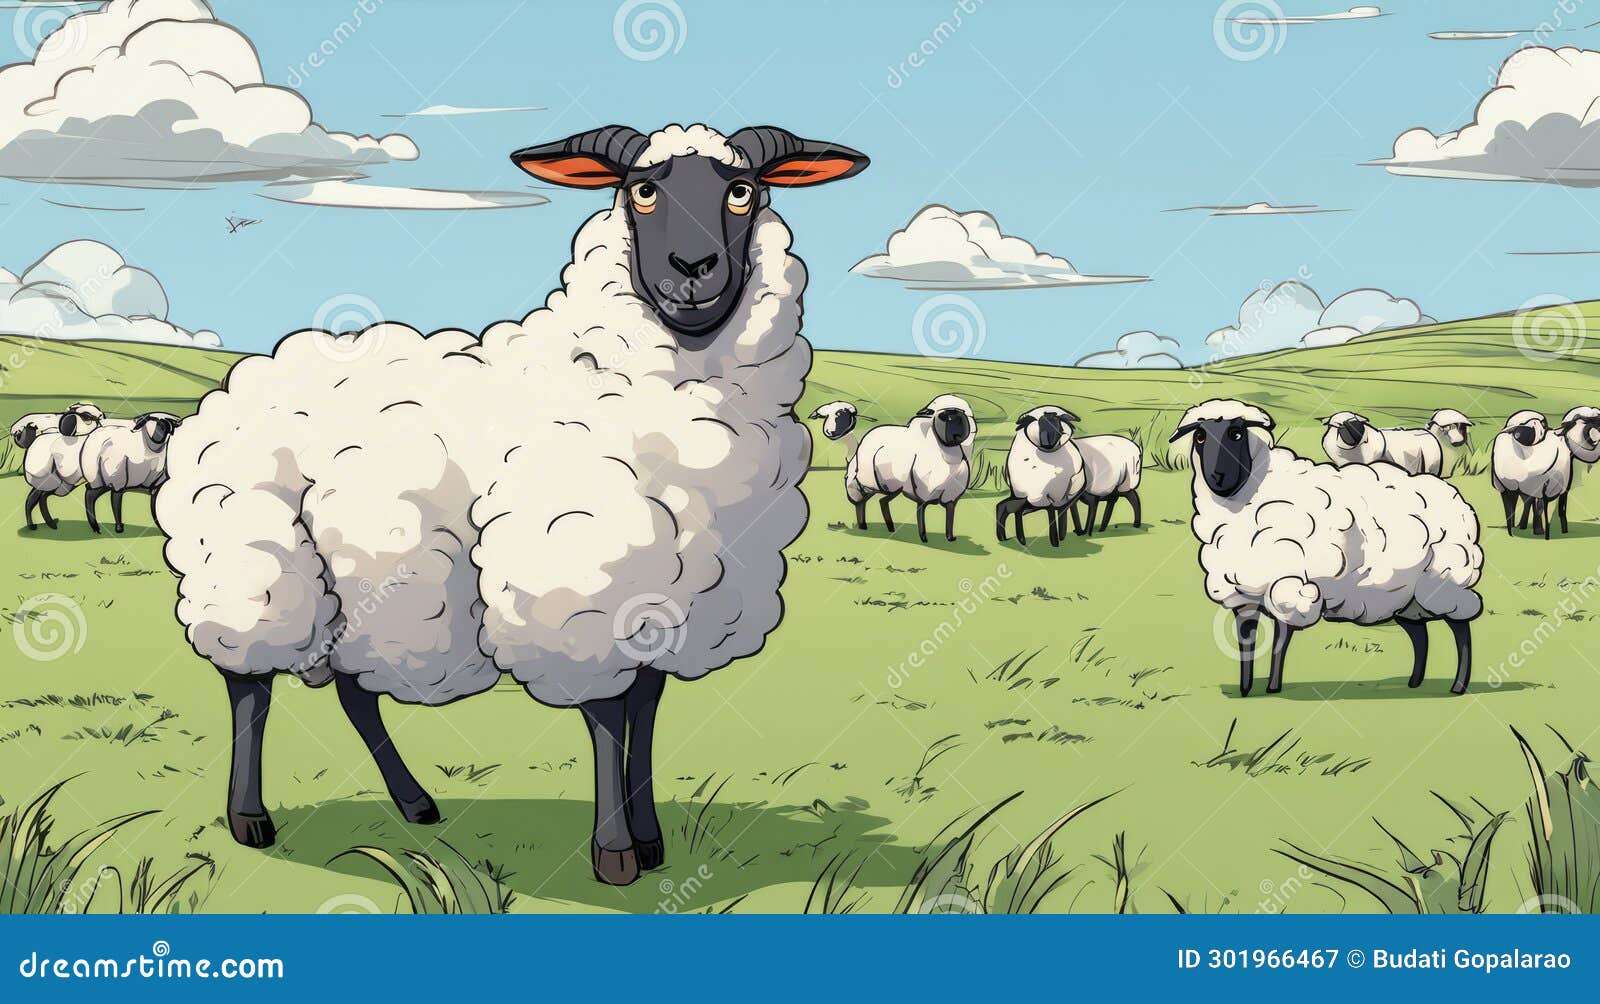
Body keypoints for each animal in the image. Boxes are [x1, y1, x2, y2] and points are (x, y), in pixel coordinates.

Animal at [20, 402, 106, 531]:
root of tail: (32, 443)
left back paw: (51, 523)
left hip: (62, 486)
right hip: (48, 481)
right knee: (33, 499)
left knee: (41, 497)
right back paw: (34, 525)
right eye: (87, 416)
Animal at [156, 123, 869, 887]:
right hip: (254, 570)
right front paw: (615, 854)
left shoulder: (674, 598)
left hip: (361, 596)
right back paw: (249, 818)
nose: (693, 267)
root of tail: (253, 372)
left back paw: (415, 803)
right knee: (248, 688)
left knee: (353, 693)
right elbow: (608, 716)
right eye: (642, 191)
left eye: (742, 191)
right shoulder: (581, 591)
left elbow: (646, 710)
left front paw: (651, 841)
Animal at [846, 393, 975, 543]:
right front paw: (924, 538)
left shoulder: (951, 498)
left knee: (882, 501)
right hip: (868, 483)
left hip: (893, 486)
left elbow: (950, 518)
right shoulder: (923, 496)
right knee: (860, 501)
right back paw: (863, 526)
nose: (956, 433)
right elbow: (921, 516)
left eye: (961, 414)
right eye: (943, 415)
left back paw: (890, 528)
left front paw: (950, 538)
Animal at [996, 405, 1083, 546]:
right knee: (1003, 508)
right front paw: (1054, 541)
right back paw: (1008, 538)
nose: (1048, 442)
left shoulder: (1058, 498)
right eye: (1038, 422)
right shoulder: (1035, 498)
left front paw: (1057, 540)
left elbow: (1057, 515)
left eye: (1059, 423)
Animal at [1175, 399, 1483, 696]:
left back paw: (1458, 686)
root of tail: (1455, 497)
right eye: (1200, 437)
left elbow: (1280, 642)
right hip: (1407, 597)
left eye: (1236, 434)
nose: (1217, 476)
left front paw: (1273, 687)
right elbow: (1246, 643)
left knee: (1461, 627)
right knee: (1420, 635)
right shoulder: (1242, 595)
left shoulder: (1289, 586)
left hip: (1445, 580)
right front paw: (1245, 689)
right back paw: (1414, 683)